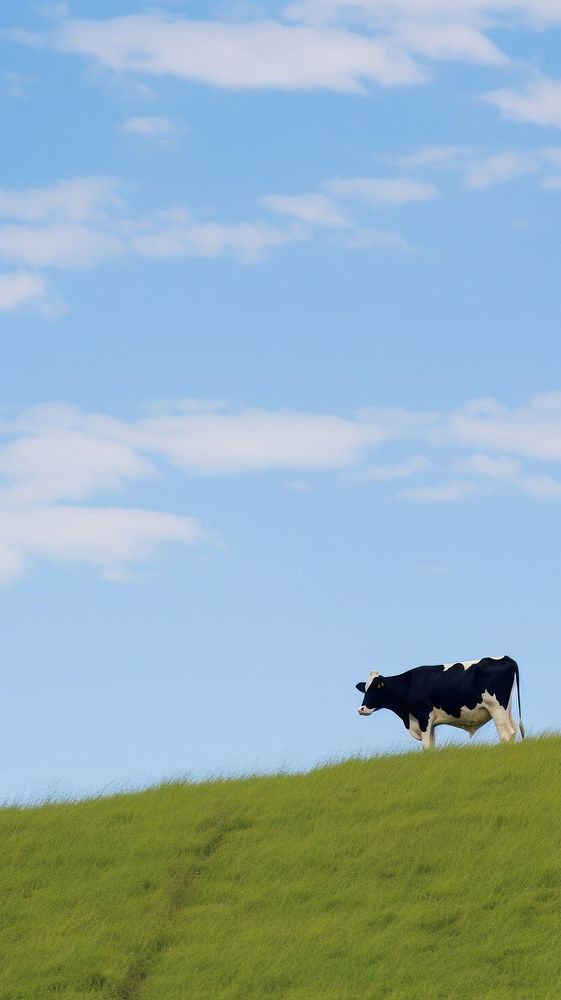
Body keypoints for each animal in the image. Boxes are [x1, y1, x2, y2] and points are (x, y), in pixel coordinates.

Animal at [356, 654, 525, 750]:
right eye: (365, 689)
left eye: (376, 688)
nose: (361, 709)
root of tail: (504, 658)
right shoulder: (429, 723)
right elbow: (431, 746)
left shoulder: (424, 716)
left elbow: (426, 746)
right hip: (506, 707)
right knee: (513, 730)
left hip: (496, 707)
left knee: (506, 733)